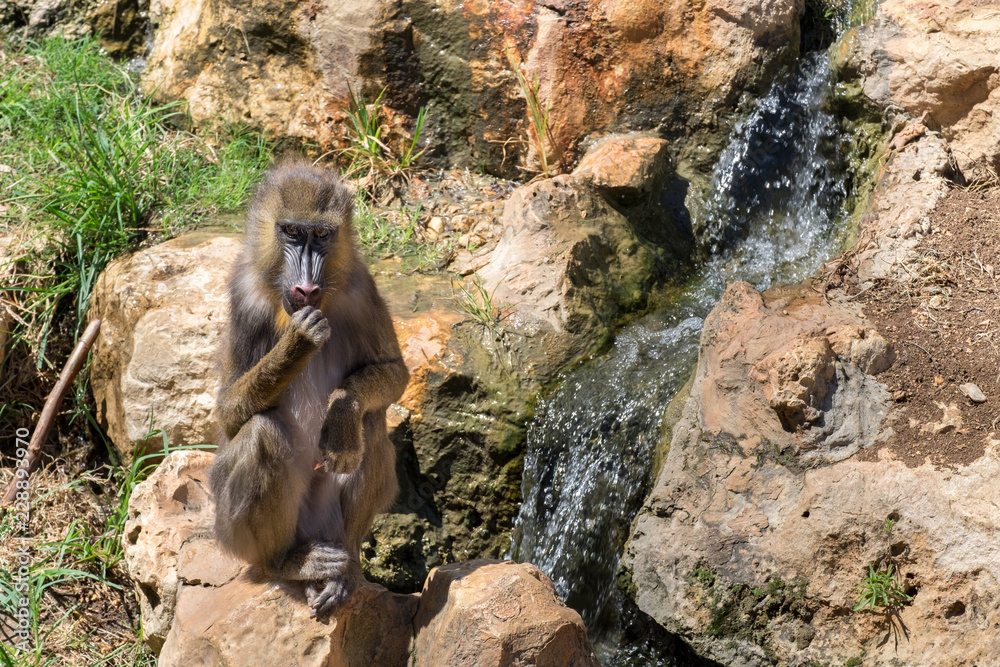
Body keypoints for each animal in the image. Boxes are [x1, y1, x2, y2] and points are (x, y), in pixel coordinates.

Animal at [207, 161, 409, 617]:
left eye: (321, 235)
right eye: (292, 232)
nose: (306, 288)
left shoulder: (362, 289)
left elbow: (393, 373)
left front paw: (342, 414)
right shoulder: (244, 299)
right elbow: (228, 415)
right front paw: (297, 343)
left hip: (329, 521)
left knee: (370, 423)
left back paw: (344, 571)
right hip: (236, 533)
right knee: (260, 435)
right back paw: (286, 563)